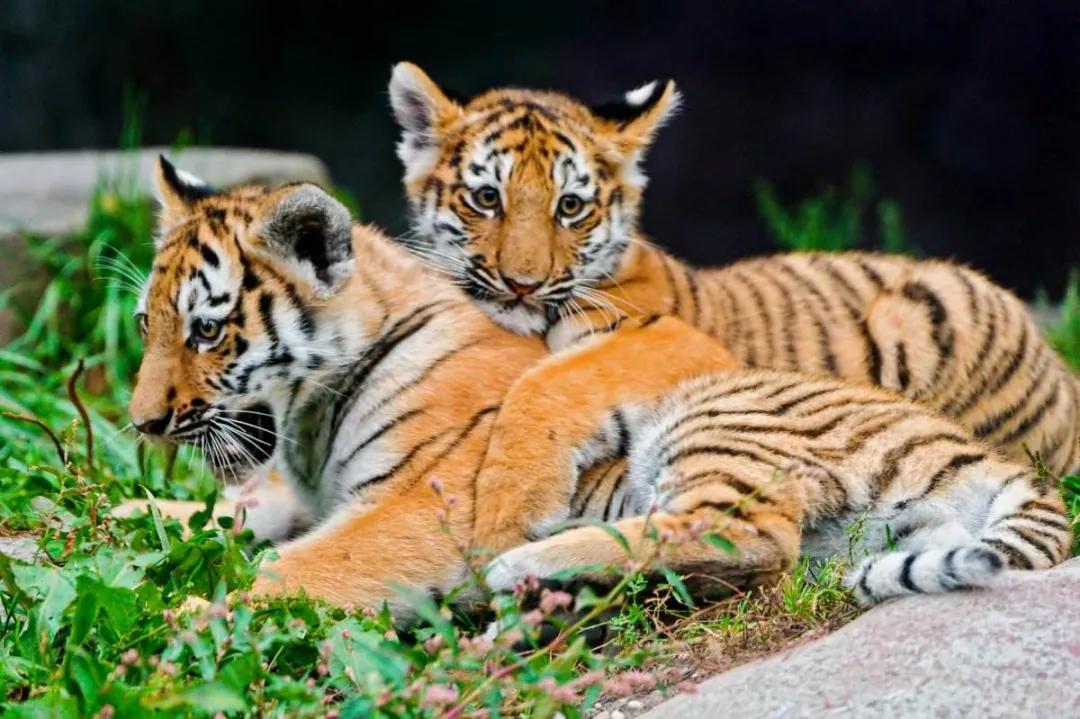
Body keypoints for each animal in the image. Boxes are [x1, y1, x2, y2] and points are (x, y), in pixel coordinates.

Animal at [127, 158, 1069, 613]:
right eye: (146, 326)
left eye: (207, 330)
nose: (142, 424)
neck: (308, 415)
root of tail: (977, 455)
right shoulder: (302, 491)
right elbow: (230, 508)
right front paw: (123, 513)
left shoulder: (420, 503)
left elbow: (304, 566)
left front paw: (188, 619)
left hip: (715, 420)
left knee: (750, 534)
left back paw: (526, 566)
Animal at [385, 61, 1080, 514]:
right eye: (486, 198)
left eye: (570, 207)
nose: (523, 285)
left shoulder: (677, 347)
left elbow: (547, 385)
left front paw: (507, 506)